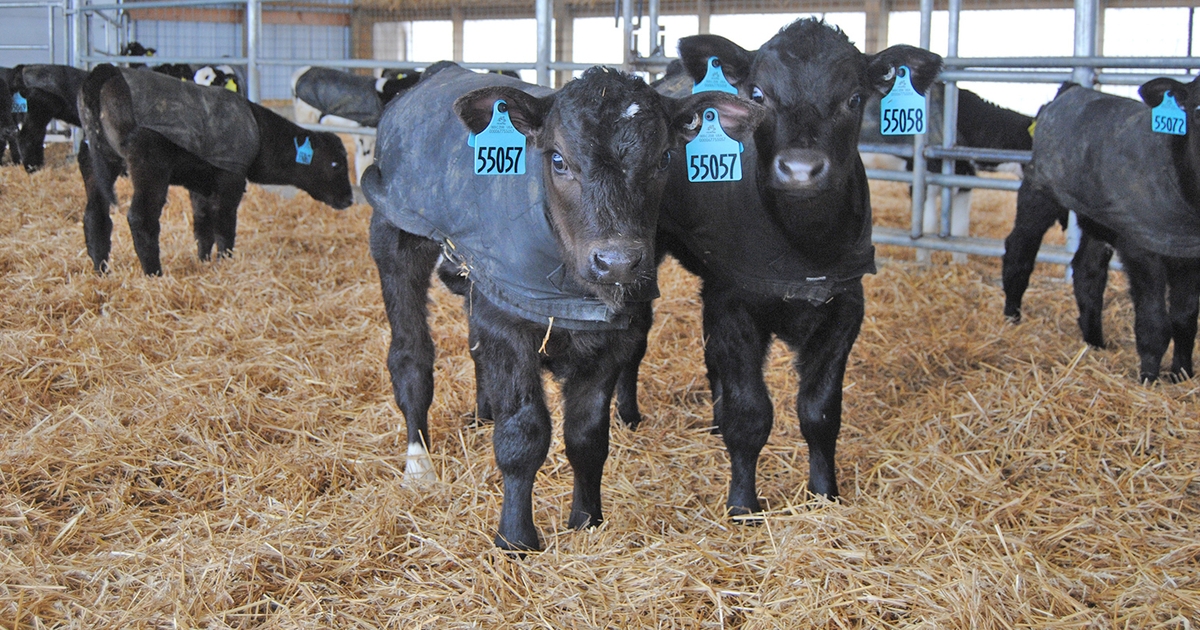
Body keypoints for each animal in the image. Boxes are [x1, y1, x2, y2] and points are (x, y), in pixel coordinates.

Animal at [77, 63, 354, 276]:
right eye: (335, 164)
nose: (350, 199)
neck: (259, 131)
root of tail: (109, 72)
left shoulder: (200, 182)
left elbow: (202, 225)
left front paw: (203, 260)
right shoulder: (230, 178)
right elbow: (224, 223)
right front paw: (224, 262)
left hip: (94, 160)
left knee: (95, 216)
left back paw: (101, 271)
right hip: (149, 164)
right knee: (141, 218)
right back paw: (154, 274)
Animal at [361, 62, 763, 551]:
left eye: (664, 160)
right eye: (558, 160)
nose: (617, 261)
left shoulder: (612, 337)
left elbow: (587, 437)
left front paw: (587, 520)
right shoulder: (508, 323)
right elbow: (523, 434)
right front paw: (515, 538)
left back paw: (481, 413)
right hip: (394, 237)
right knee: (410, 358)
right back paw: (419, 466)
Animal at [616, 19, 942, 518]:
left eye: (854, 98)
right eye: (758, 95)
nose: (800, 169)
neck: (804, 247)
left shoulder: (845, 306)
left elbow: (820, 410)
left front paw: (825, 492)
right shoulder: (734, 302)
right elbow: (751, 413)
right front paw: (743, 505)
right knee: (633, 341)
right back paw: (629, 415)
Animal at [861, 82, 1034, 262]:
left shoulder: (965, 180)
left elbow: (960, 230)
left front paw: (960, 264)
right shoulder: (922, 180)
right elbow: (927, 227)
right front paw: (923, 263)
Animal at [1002, 78, 1200, 383]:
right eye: (1198, 109)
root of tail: (1071, 88)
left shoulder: (1191, 255)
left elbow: (1185, 318)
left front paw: (1182, 374)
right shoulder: (1140, 248)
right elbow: (1154, 320)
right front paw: (1148, 379)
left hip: (1098, 218)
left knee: (1087, 272)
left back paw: (1094, 341)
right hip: (1039, 190)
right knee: (1018, 251)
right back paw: (1012, 317)